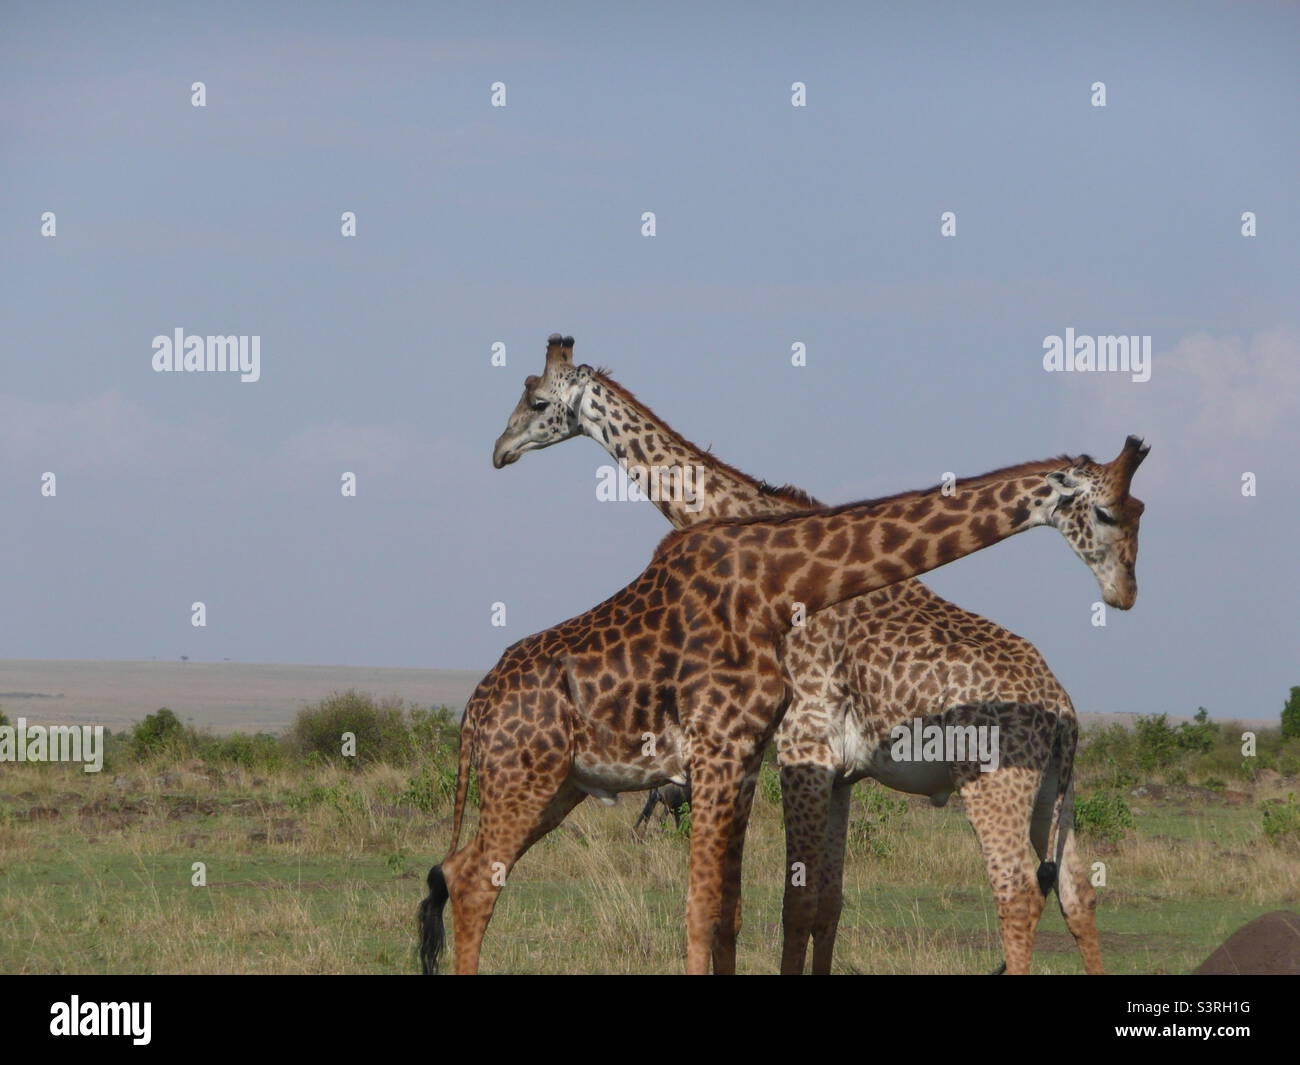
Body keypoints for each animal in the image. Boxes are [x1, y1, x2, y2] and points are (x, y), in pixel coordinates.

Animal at [489, 334, 1149, 974]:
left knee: (1016, 894)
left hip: (994, 784)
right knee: (1077, 895)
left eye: (538, 401)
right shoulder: (842, 773)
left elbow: (794, 902)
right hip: (1055, 793)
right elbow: (827, 902)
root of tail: (1065, 712)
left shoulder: (801, 747)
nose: (501, 450)